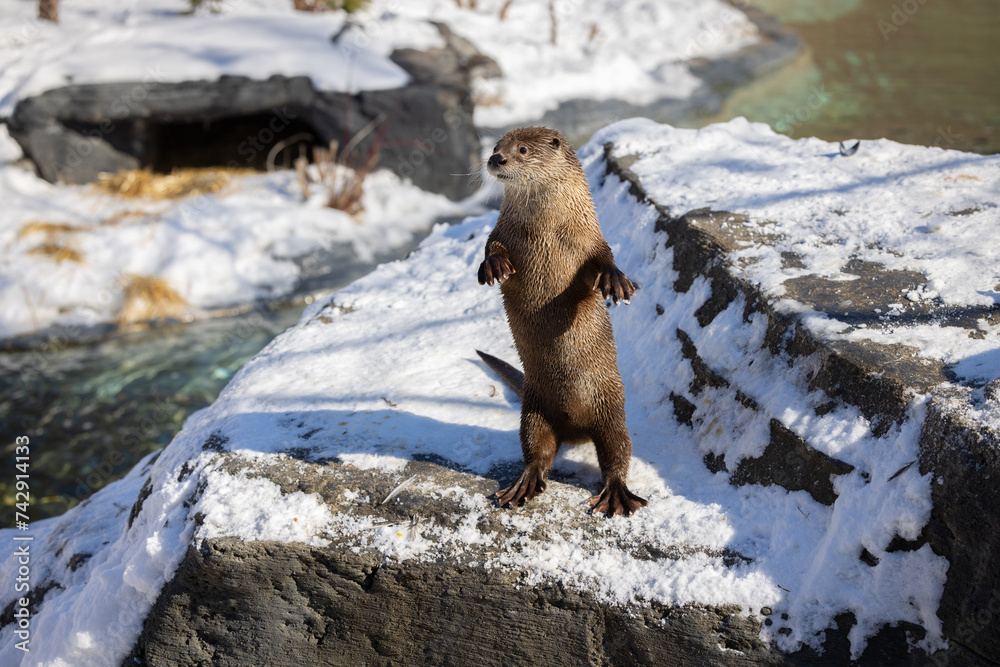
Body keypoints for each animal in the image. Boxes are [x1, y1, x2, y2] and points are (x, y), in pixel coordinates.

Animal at [477, 126, 647, 517]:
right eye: (495, 146)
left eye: (522, 149)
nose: (495, 159)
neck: (548, 231)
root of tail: (575, 429)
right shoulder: (502, 231)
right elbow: (491, 245)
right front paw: (493, 265)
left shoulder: (591, 236)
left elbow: (604, 257)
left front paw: (616, 281)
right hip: (534, 407)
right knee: (536, 451)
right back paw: (523, 485)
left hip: (610, 406)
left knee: (617, 453)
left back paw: (617, 494)